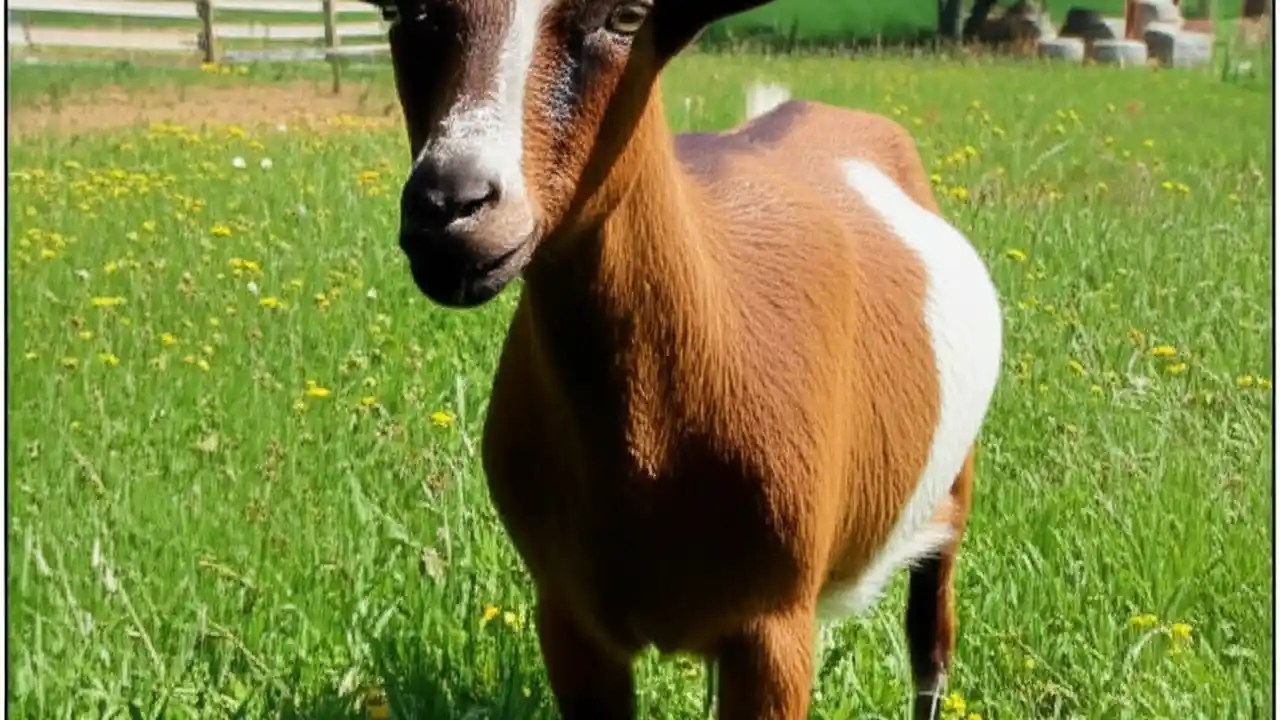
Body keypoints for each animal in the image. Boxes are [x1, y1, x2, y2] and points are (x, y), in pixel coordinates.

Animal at [366, 0, 1004, 717]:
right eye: (403, 12)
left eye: (626, 17)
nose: (452, 205)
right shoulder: (569, 618)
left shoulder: (775, 628)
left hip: (952, 491)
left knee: (931, 635)